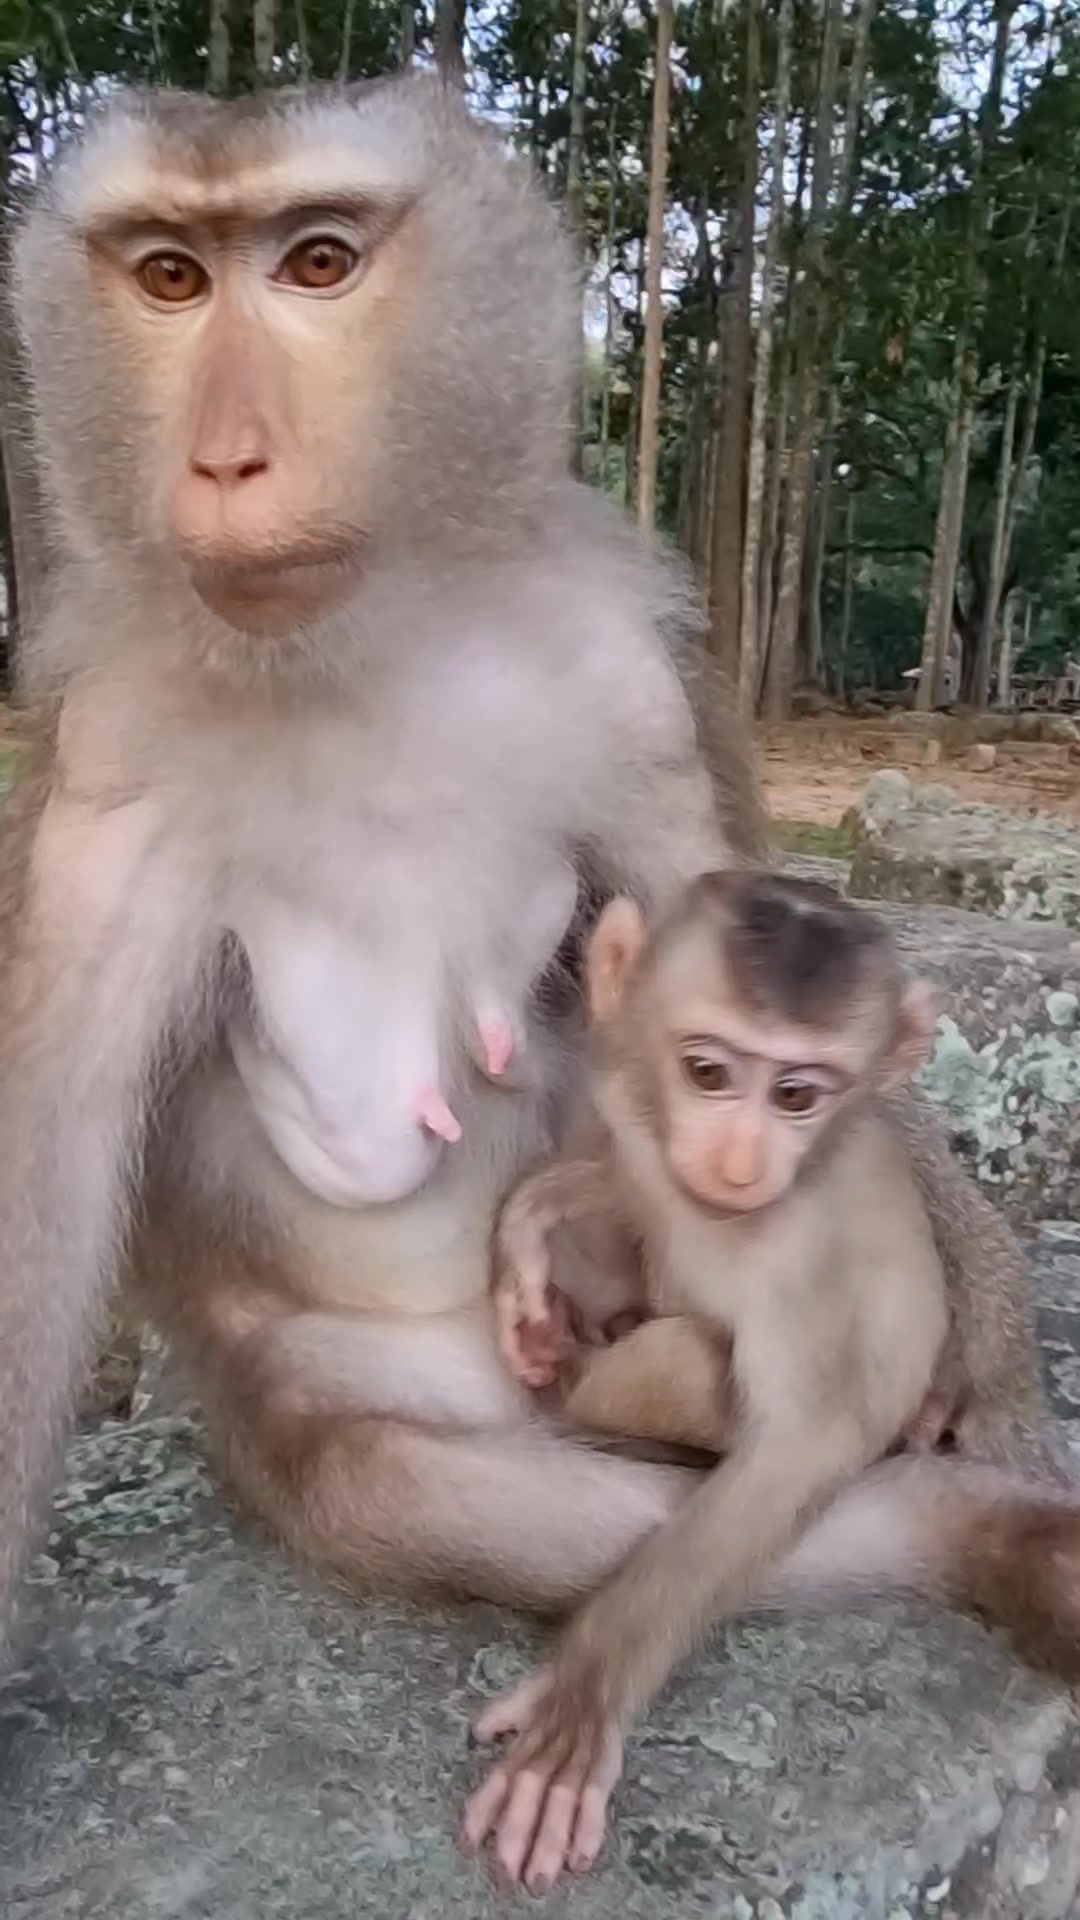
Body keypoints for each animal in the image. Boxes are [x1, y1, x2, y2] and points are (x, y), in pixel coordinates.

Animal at [0, 73, 1070, 1694]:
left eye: (318, 262)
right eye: (170, 277)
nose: (227, 461)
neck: (358, 645)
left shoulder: (620, 671)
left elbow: (769, 947)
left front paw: (995, 1358)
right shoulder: (110, 744)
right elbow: (47, 1159)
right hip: (359, 1374)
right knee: (429, 1489)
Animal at [461, 875, 1080, 1890]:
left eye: (796, 1093)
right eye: (708, 1073)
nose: (742, 1161)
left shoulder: (795, 1250)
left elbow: (803, 1447)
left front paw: (589, 1685)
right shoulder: (634, 1106)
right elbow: (622, 1181)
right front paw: (530, 1232)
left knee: (682, 1357)